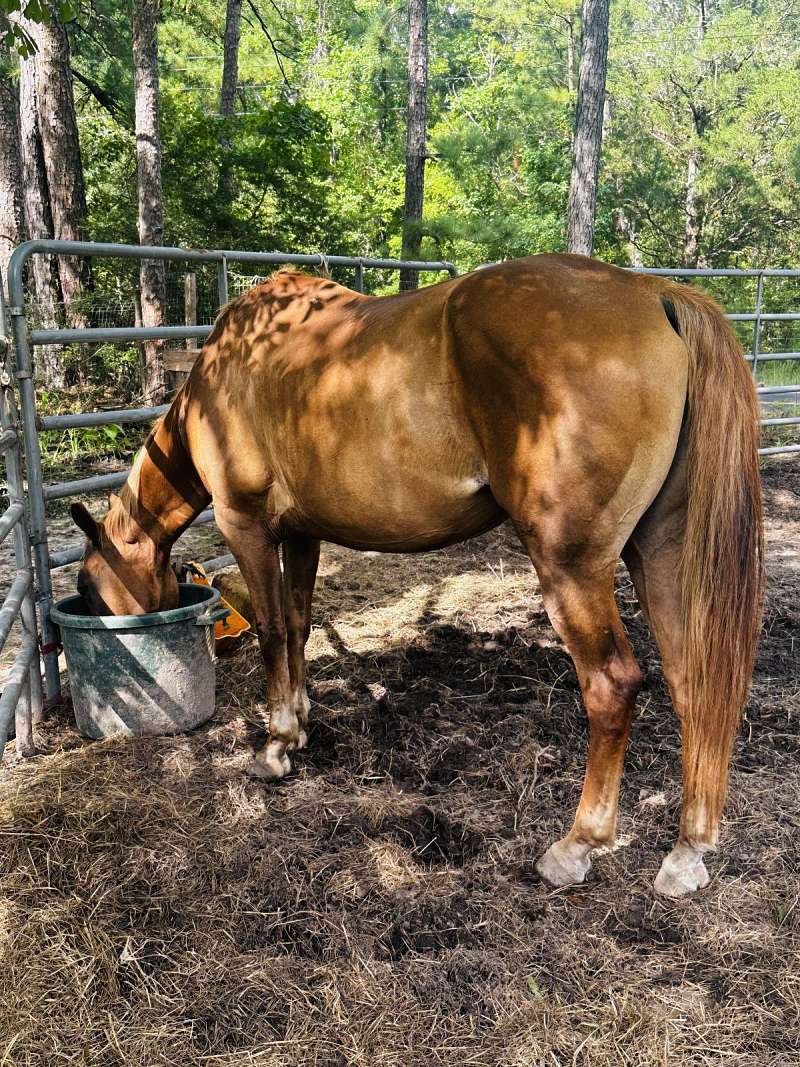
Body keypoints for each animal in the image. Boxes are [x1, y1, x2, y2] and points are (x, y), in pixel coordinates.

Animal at [70, 254, 764, 897]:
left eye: (86, 588)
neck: (228, 373)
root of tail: (653, 293)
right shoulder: (302, 533)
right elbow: (298, 624)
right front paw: (299, 724)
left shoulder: (248, 527)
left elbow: (270, 629)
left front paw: (274, 747)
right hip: (661, 552)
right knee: (691, 679)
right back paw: (687, 851)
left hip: (572, 566)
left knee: (613, 685)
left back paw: (576, 846)